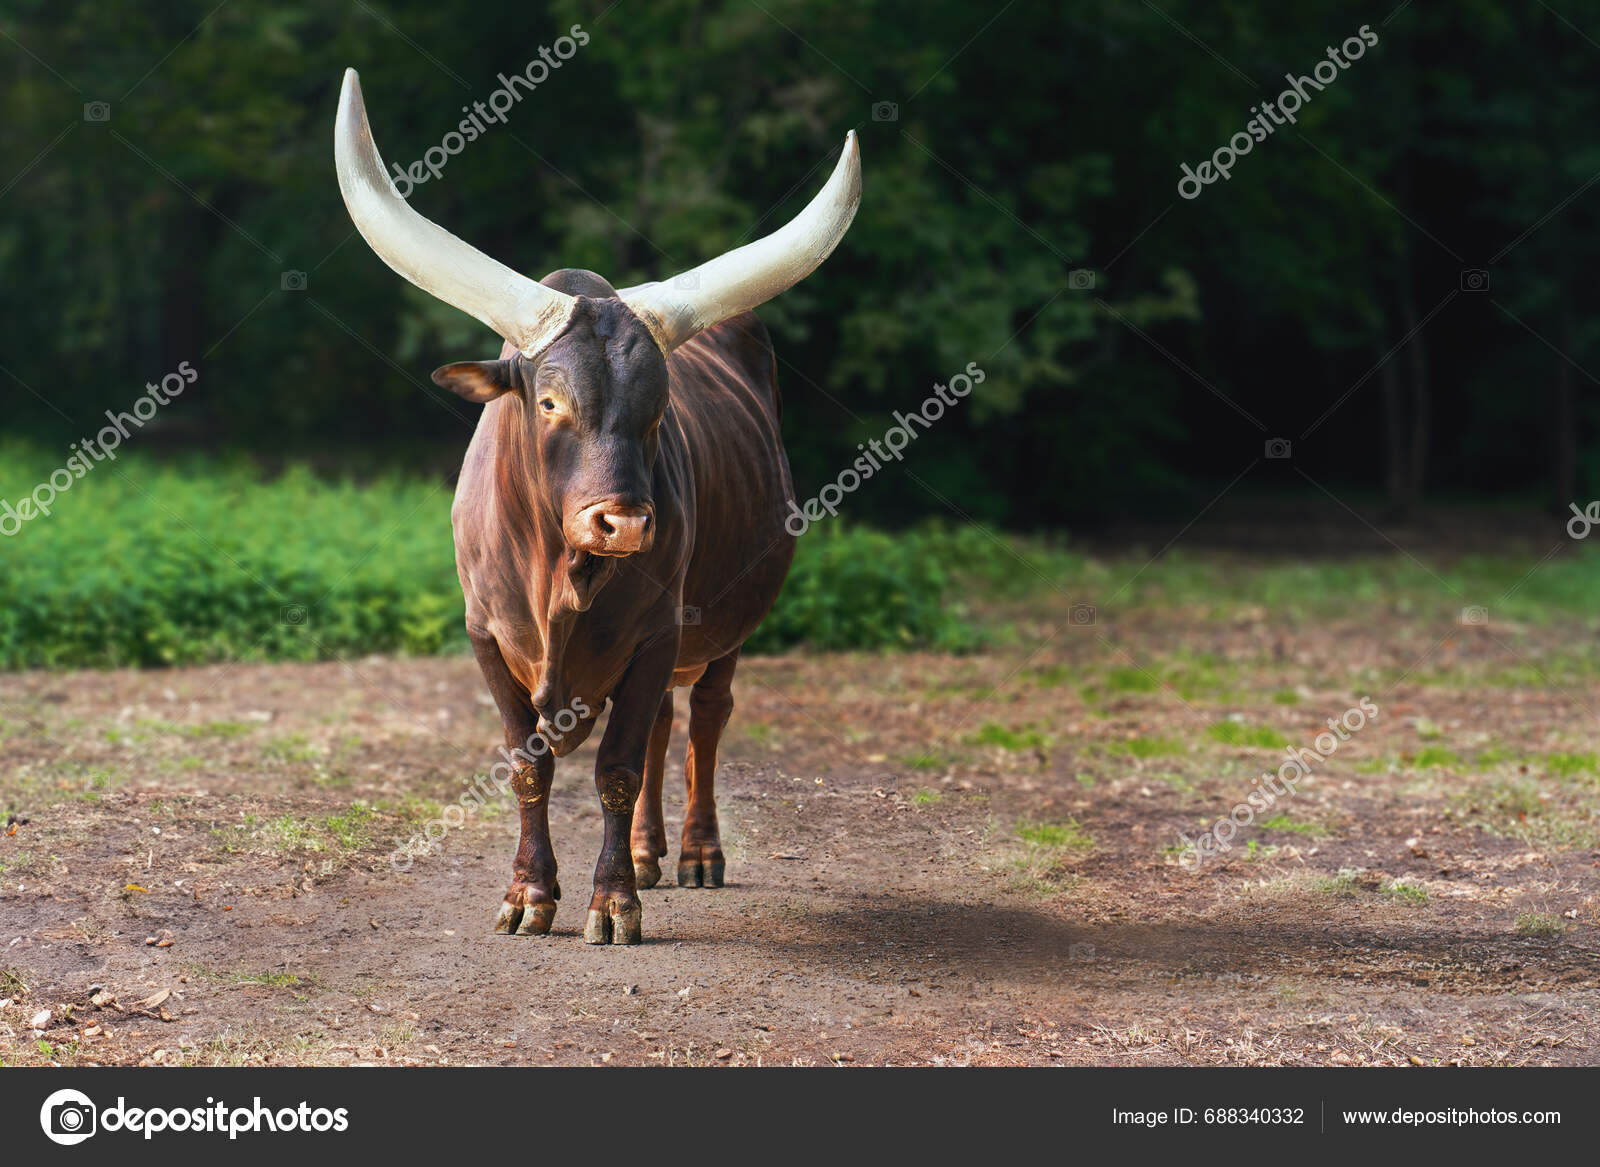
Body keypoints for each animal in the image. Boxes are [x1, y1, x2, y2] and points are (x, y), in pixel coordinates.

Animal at [333, 69, 860, 944]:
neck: (562, 573)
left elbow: (615, 765)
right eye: (549, 401)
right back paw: (647, 852)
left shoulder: (654, 631)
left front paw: (612, 902)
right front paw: (529, 893)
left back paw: (695, 853)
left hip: (721, 624)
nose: (625, 523)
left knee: (703, 716)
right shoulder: (486, 634)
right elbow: (530, 763)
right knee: (663, 727)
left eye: (658, 408)